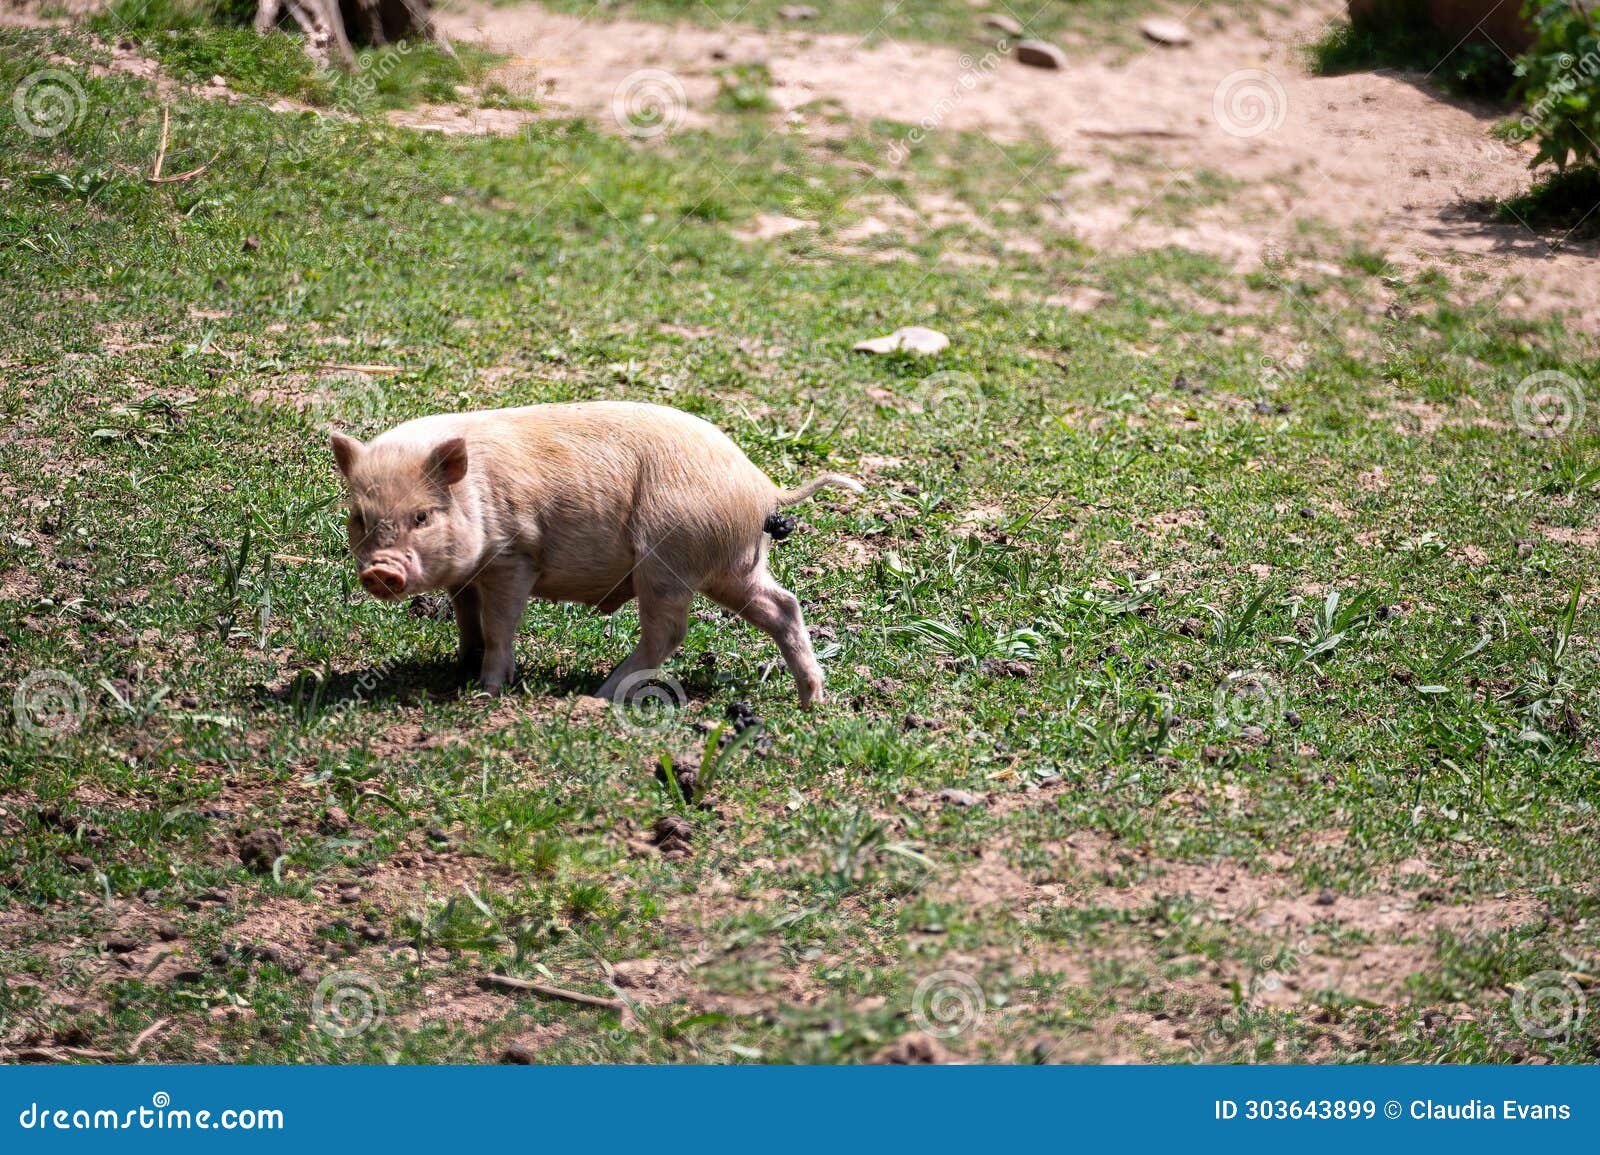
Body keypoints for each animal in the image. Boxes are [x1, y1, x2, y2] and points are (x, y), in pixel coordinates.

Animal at [330, 401, 862, 707]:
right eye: (359, 516)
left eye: (421, 516)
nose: (381, 571)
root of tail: (762, 484)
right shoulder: (467, 576)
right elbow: (467, 618)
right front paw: (461, 667)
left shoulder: (514, 556)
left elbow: (500, 626)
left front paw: (486, 690)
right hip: (732, 566)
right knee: (784, 605)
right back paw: (813, 701)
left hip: (668, 558)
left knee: (669, 632)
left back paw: (601, 696)